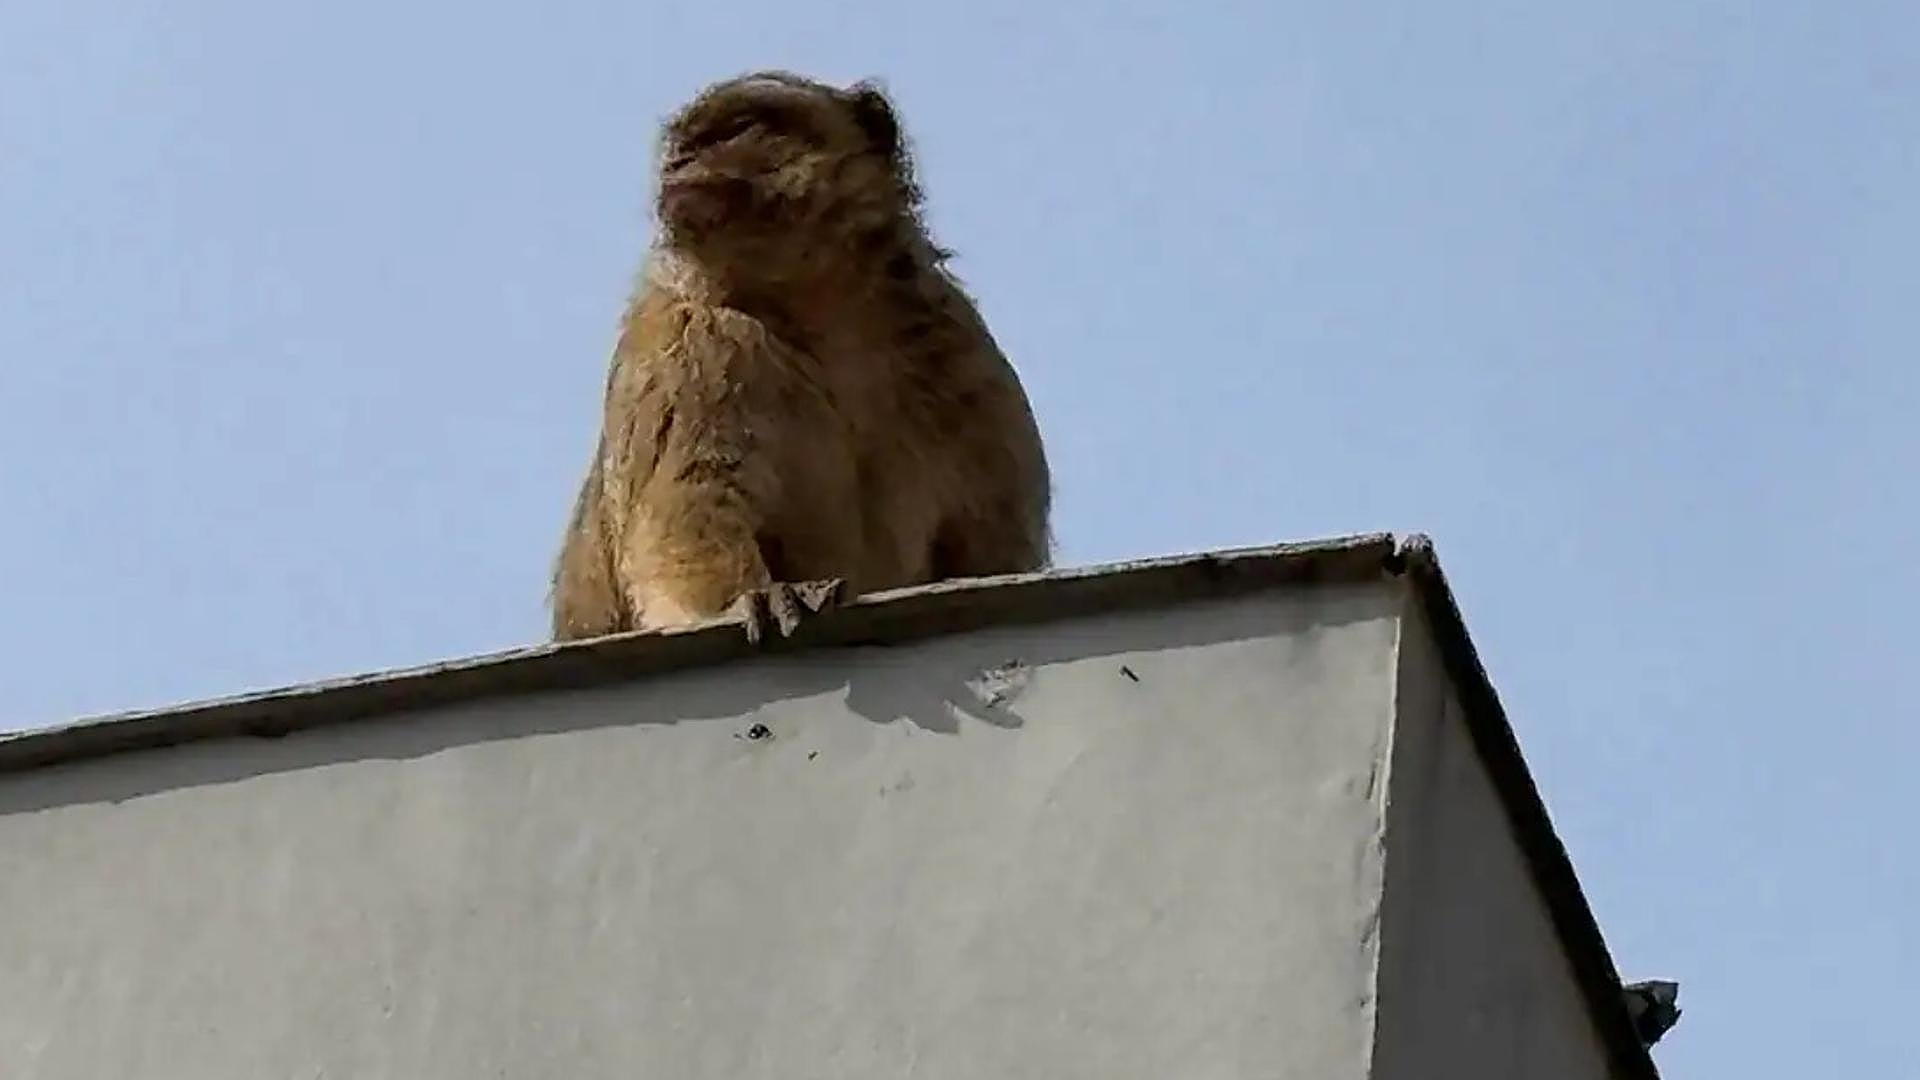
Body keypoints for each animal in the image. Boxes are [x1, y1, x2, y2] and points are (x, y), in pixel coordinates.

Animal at [549, 71, 1052, 645]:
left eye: (740, 126)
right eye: (681, 145)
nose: (680, 160)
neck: (820, 312)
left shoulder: (961, 354)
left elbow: (991, 539)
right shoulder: (693, 343)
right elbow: (687, 506)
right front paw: (752, 597)